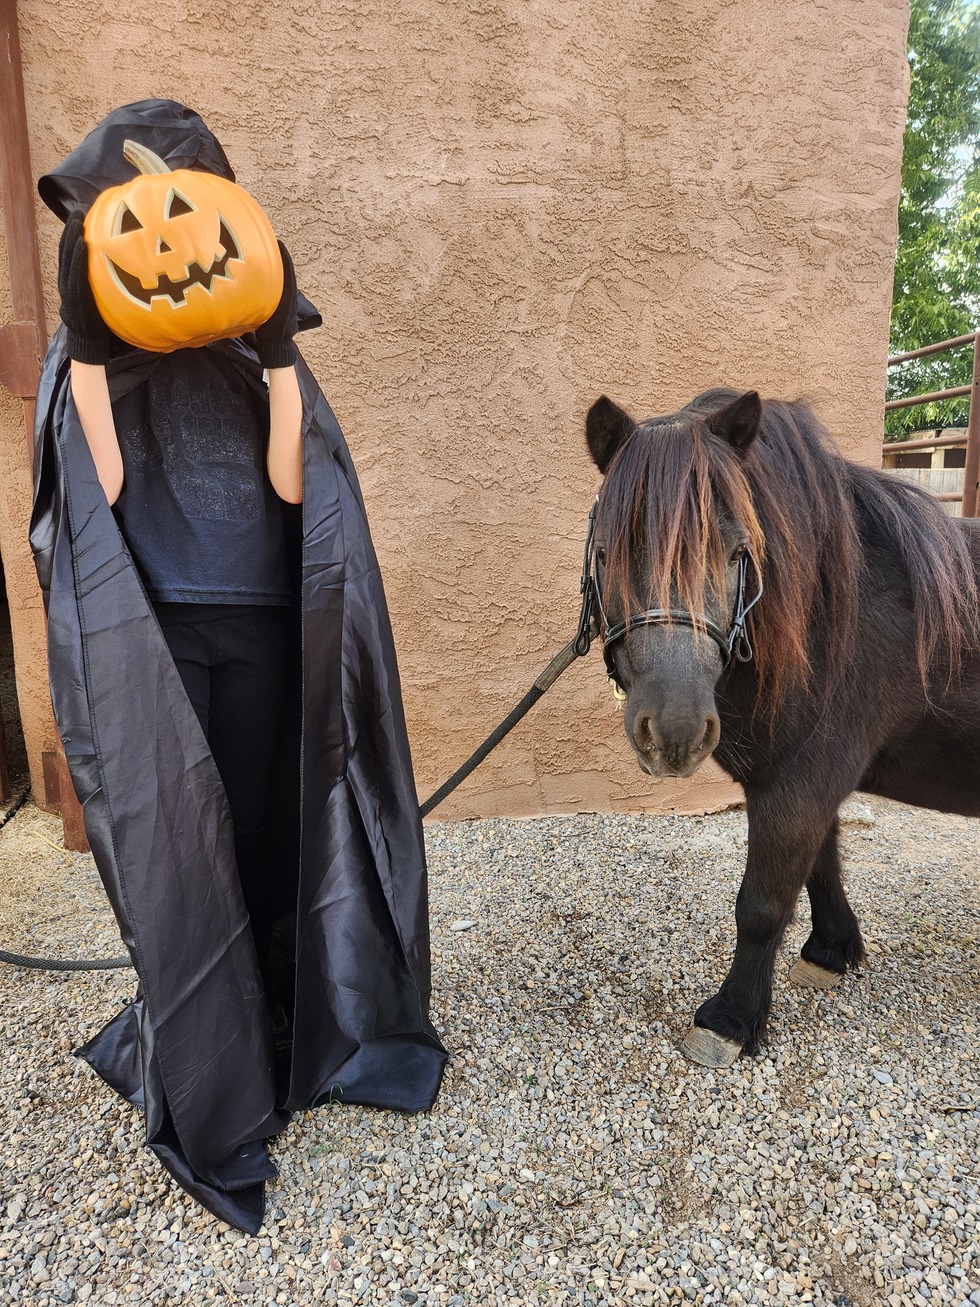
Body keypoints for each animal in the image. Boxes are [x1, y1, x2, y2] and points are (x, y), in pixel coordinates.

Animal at [581, 387, 980, 1067]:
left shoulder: (803, 783)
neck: (836, 613)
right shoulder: (803, 783)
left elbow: (763, 903)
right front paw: (832, 951)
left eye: (738, 552)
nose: (675, 732)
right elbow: (820, 866)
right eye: (607, 552)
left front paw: (730, 1019)